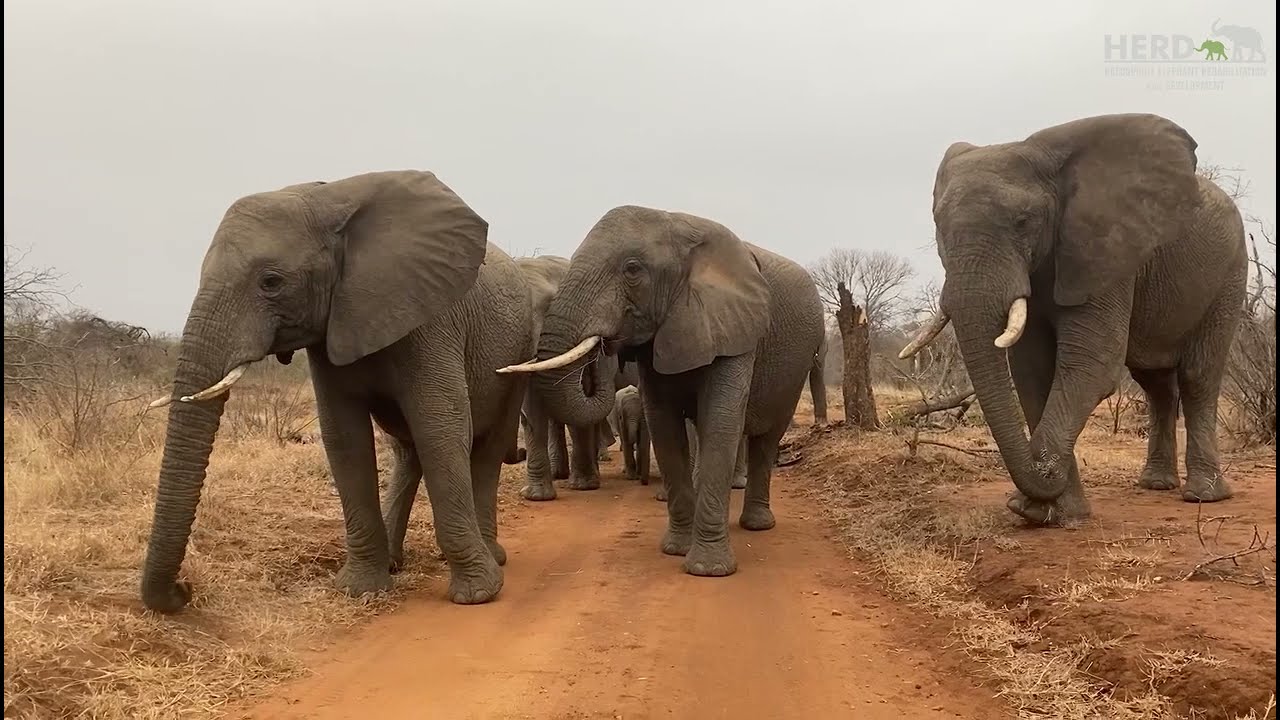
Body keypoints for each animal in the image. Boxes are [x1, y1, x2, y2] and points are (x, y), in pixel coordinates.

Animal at [142, 170, 529, 612]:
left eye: (271, 282)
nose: (185, 589)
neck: (330, 202)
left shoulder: (431, 320)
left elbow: (440, 428)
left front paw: (477, 595)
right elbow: (345, 438)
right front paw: (360, 589)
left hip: (520, 351)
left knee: (486, 451)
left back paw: (492, 557)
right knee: (407, 451)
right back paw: (395, 561)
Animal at [499, 206, 825, 577]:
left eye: (632, 269)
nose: (605, 346)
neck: (681, 226)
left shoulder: (737, 328)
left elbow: (721, 421)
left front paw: (708, 570)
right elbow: (663, 423)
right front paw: (676, 550)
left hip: (795, 367)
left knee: (767, 437)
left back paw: (757, 525)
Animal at [899, 113, 1247, 527]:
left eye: (1023, 221)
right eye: (939, 226)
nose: (1042, 475)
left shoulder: (1105, 251)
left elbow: (1090, 363)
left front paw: (1033, 506)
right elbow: (1032, 371)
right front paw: (1044, 512)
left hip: (1229, 272)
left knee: (1198, 375)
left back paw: (1203, 496)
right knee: (1155, 384)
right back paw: (1155, 485)